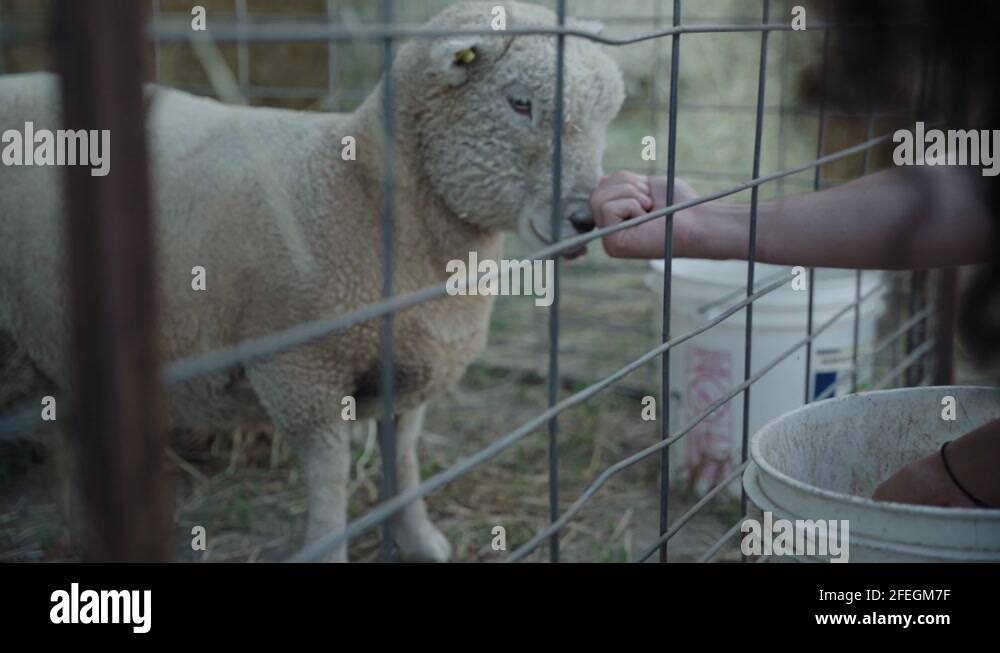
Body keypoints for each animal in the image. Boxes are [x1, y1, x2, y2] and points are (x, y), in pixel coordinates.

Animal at [0, 1, 625, 562]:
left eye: (605, 116)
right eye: (520, 104)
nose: (585, 218)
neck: (360, 189)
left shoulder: (413, 373)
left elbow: (405, 463)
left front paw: (420, 540)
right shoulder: (302, 371)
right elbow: (329, 479)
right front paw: (328, 549)